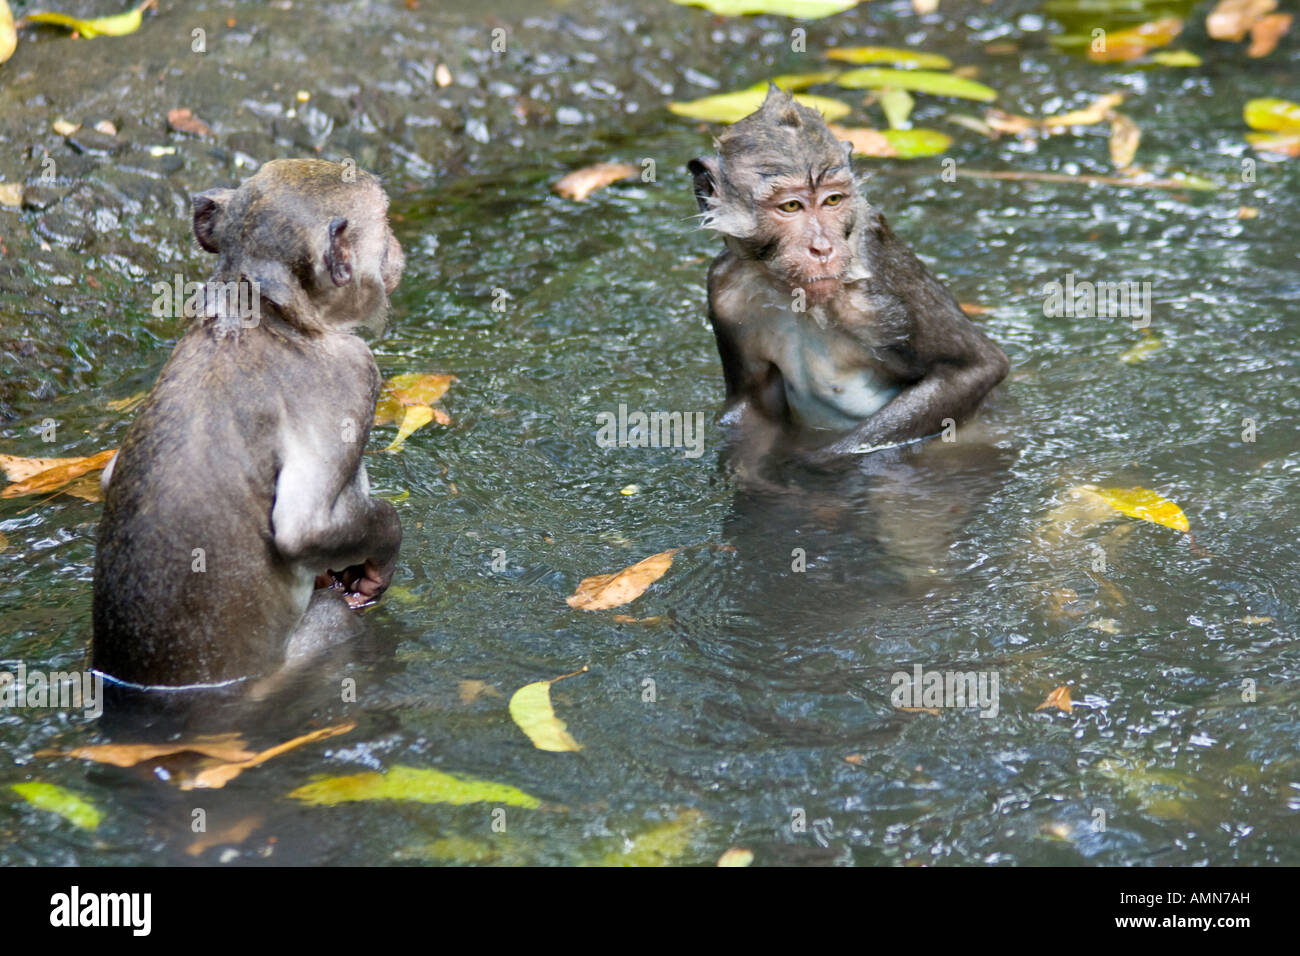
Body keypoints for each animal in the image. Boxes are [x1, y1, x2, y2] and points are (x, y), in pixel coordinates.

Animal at [92, 158, 405, 689]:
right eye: (384, 222)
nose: (399, 248)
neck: (262, 312)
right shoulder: (354, 372)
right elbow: (303, 529)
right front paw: (381, 550)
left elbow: (111, 475)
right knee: (334, 616)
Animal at [688, 86, 1009, 468]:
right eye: (791, 206)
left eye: (833, 200)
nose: (823, 248)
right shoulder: (724, 289)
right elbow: (753, 409)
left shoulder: (880, 284)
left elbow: (976, 367)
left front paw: (813, 462)